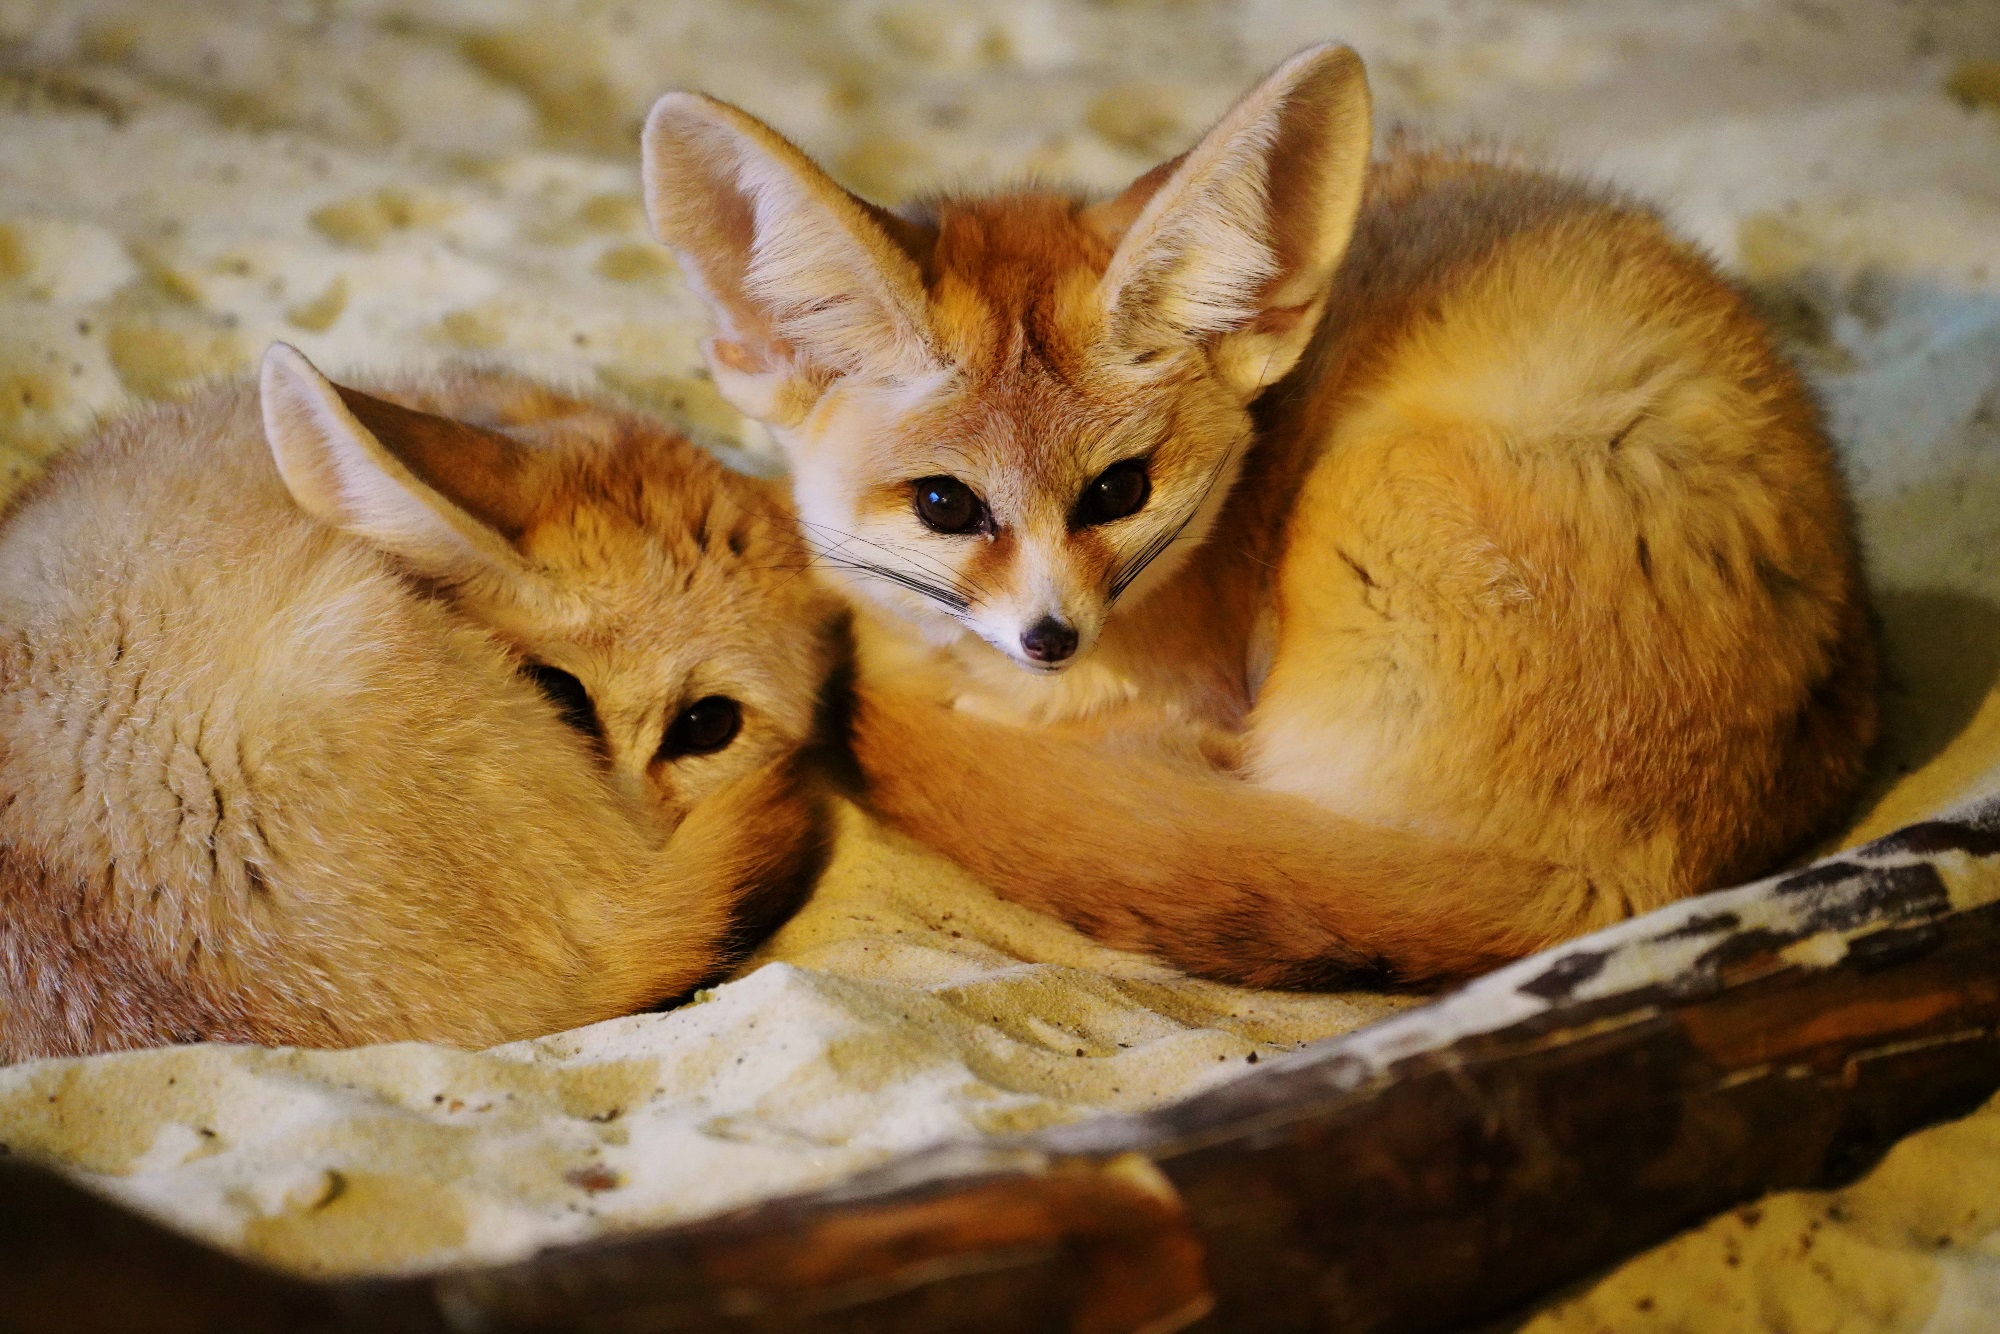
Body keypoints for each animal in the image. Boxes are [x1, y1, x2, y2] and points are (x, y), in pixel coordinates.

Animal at [639, 43, 1879, 988]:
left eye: (1118, 491)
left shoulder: (1192, 706)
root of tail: (1642, 879)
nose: (1050, 636)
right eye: (946, 503)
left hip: (1355, 507)